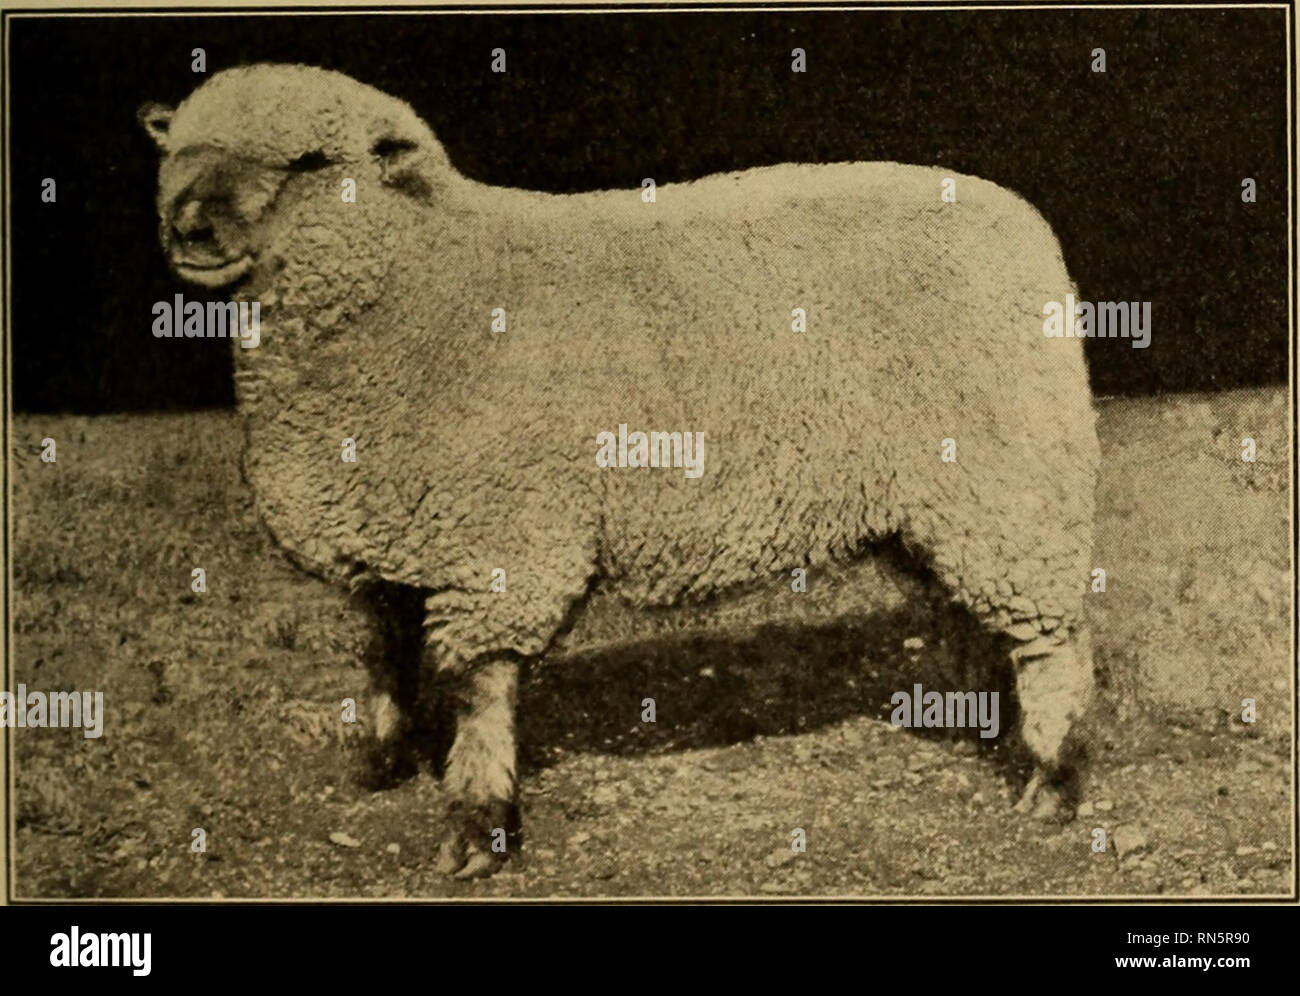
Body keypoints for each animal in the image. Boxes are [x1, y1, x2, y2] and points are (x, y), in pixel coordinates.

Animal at [141, 63, 1100, 879]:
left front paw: (480, 826)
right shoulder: (387, 535)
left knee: (1053, 640)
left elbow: (478, 686)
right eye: (176, 147)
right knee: (980, 620)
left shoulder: (498, 538)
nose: (190, 227)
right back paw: (987, 729)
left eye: (309, 161)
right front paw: (381, 762)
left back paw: (1051, 780)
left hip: (1012, 478)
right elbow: (384, 655)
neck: (419, 278)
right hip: (931, 503)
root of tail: (1020, 216)